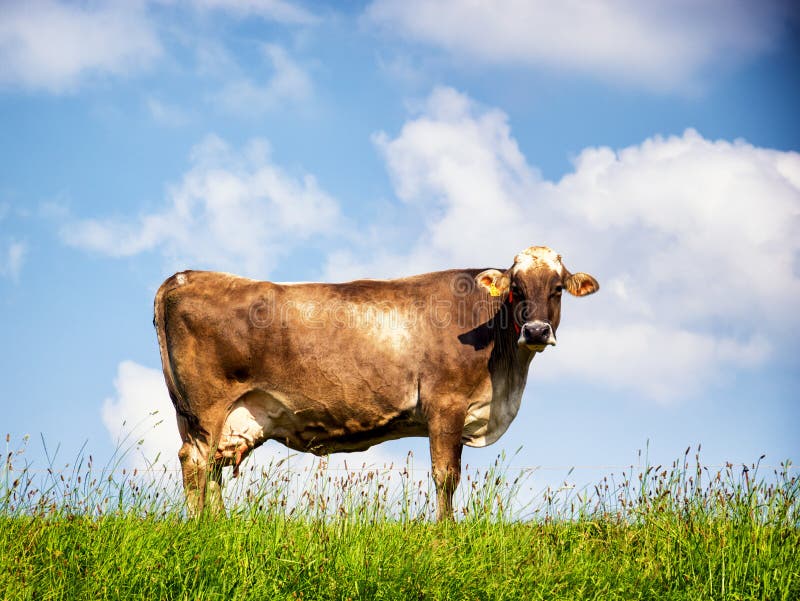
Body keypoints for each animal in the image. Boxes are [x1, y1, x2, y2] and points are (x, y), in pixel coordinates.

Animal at [153, 245, 599, 520]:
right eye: (517, 289)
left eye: (557, 289)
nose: (537, 330)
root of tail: (183, 276)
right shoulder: (446, 405)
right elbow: (446, 476)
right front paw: (446, 533)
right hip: (206, 408)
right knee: (195, 462)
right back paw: (203, 528)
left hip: (216, 416)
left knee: (210, 467)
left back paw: (220, 524)